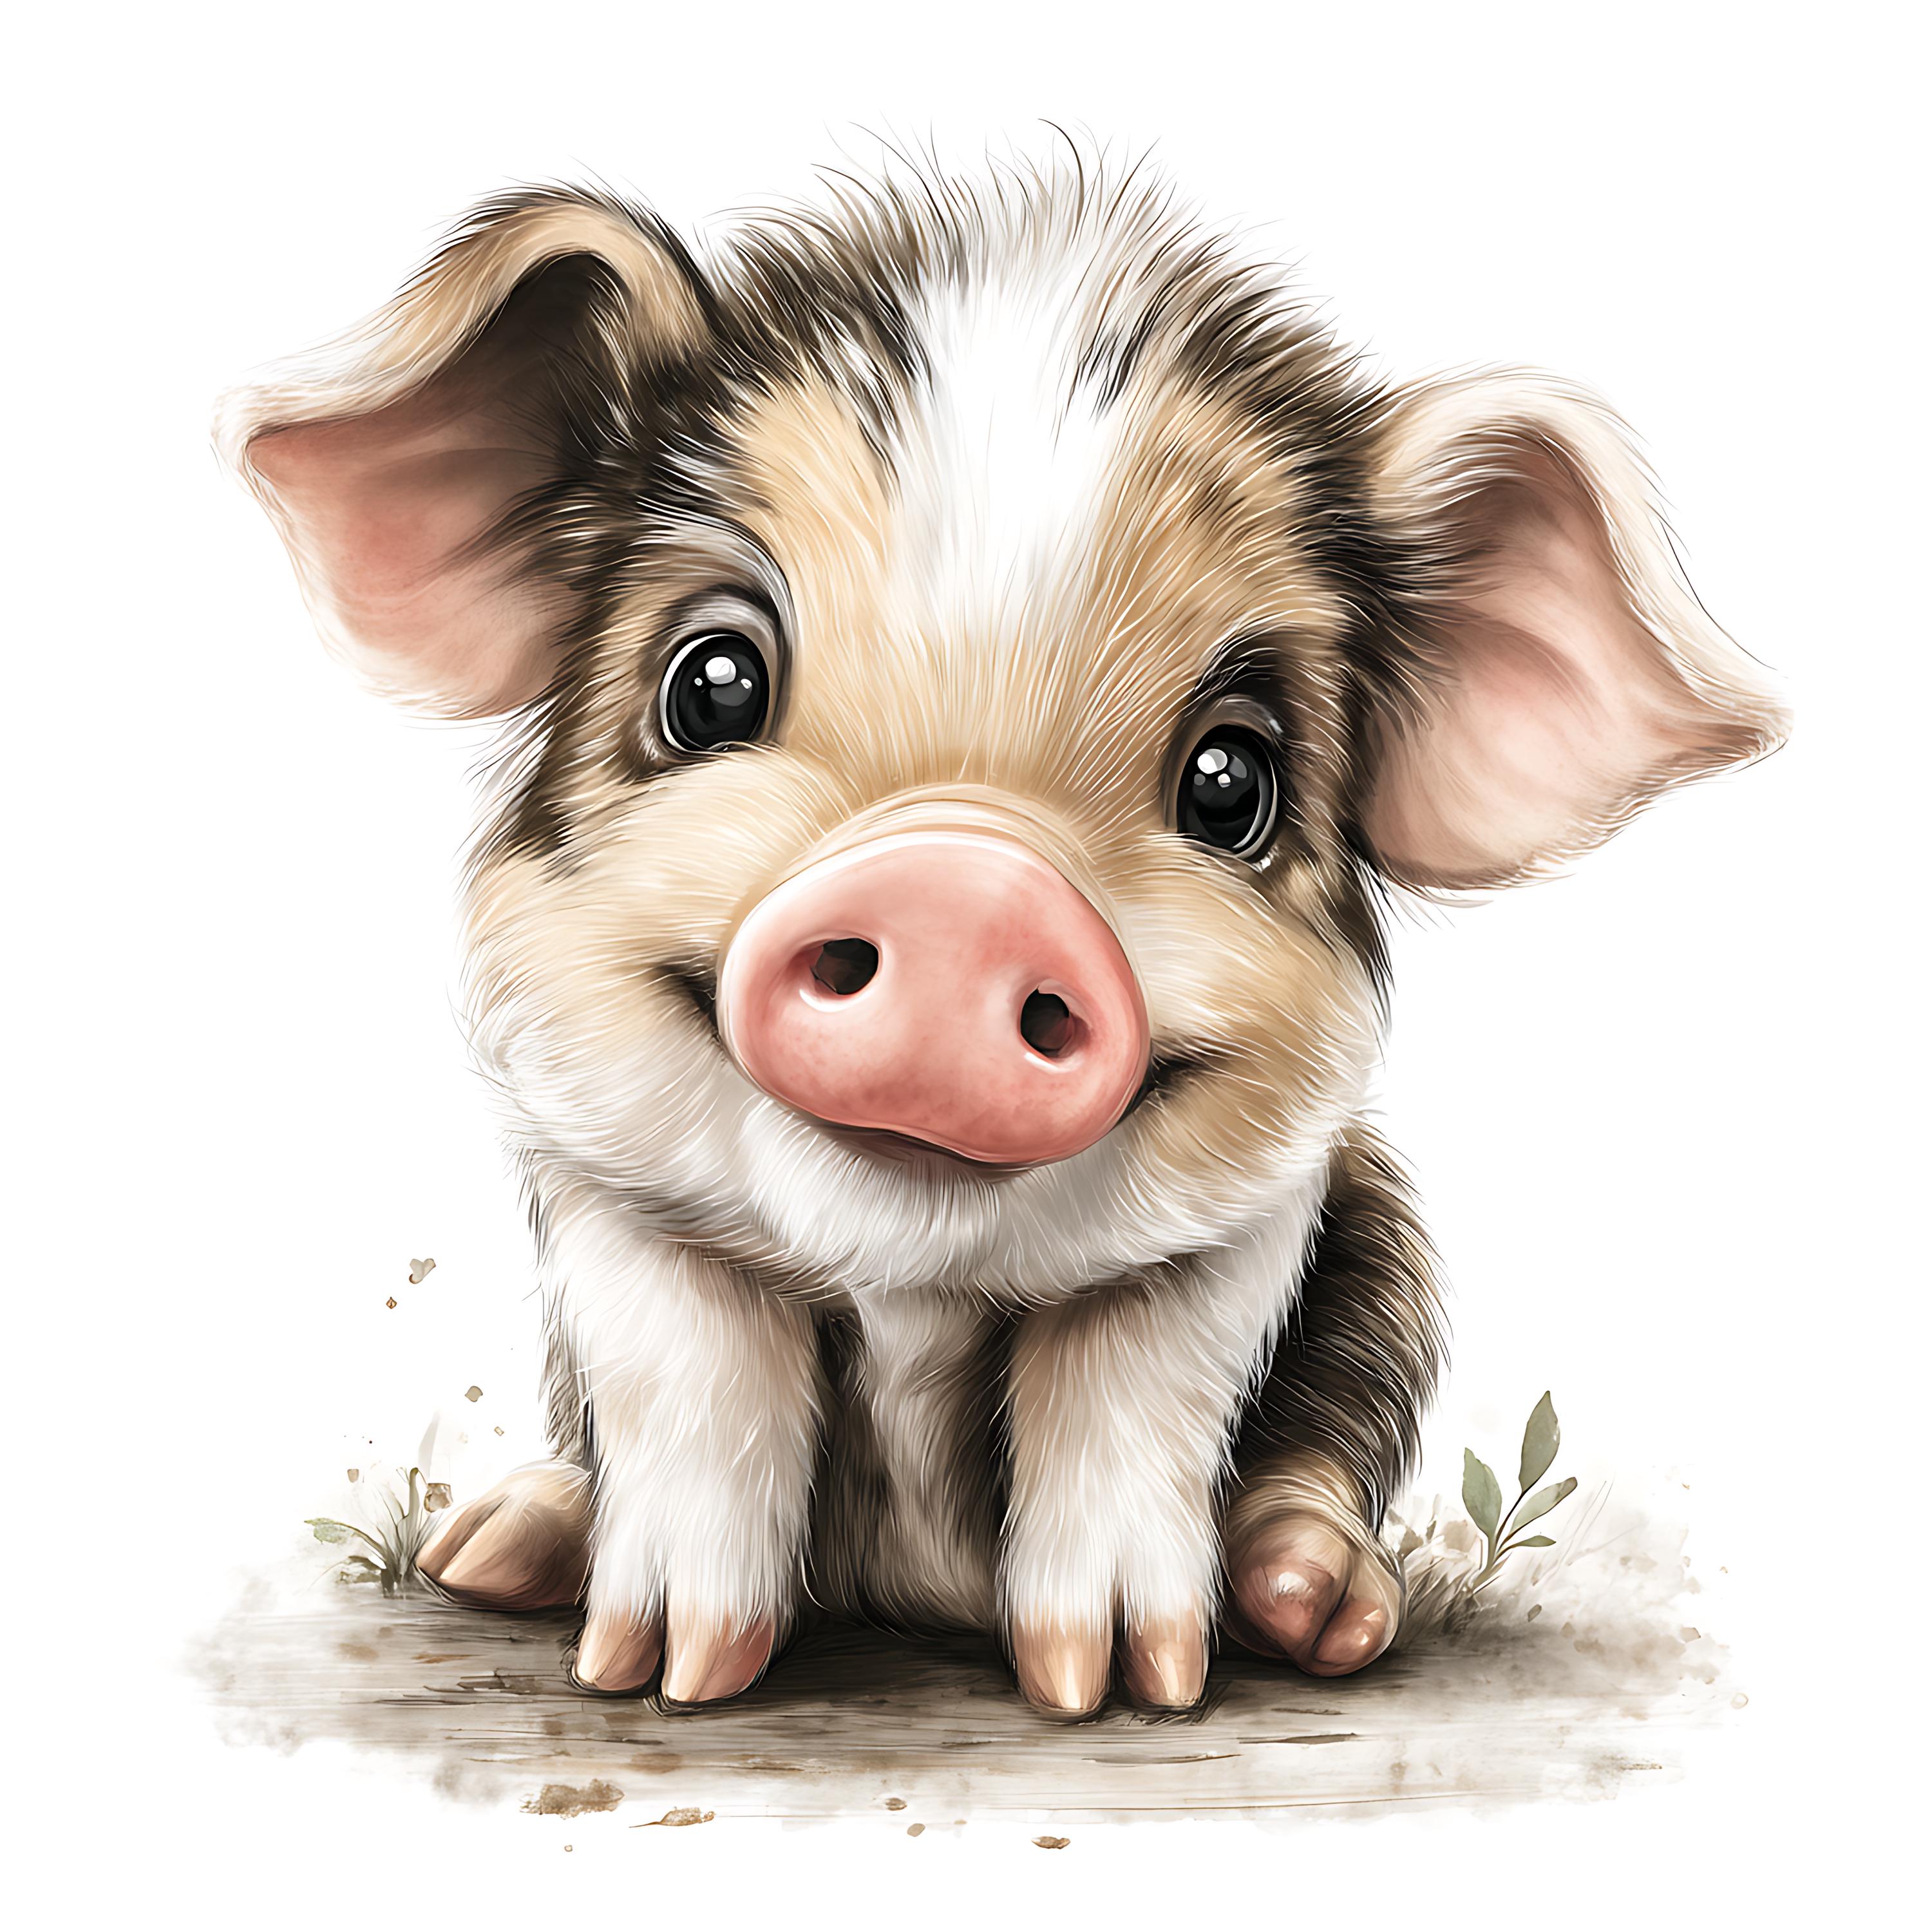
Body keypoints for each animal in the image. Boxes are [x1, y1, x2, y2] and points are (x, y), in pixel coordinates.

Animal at [220, 154, 1786, 1716]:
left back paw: (1312, 1606)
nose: (960, 889)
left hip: (1385, 1255)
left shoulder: (1249, 1226)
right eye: (712, 680)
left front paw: (1126, 1683)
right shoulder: (605, 1187)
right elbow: (692, 1369)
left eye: (1233, 782)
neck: (909, 1278)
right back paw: (495, 1555)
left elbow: (1133, 1385)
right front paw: (658, 1671)